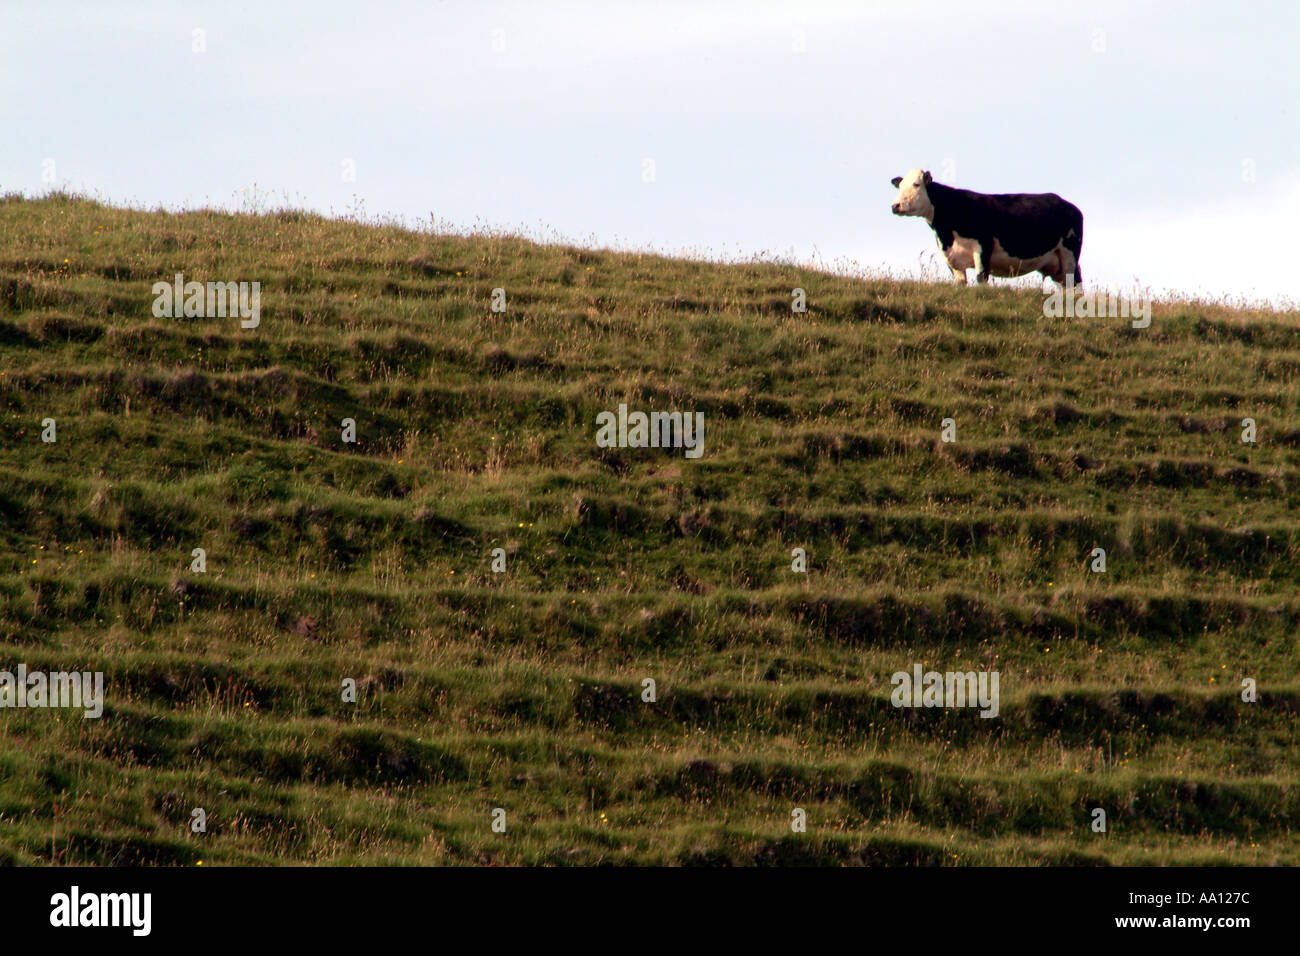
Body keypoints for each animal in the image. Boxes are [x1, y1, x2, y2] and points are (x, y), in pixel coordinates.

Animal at [890, 168, 1083, 287]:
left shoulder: (983, 247)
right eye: (900, 186)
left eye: (916, 184)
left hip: (1069, 254)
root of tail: (1070, 206)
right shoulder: (952, 259)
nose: (895, 206)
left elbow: (981, 278)